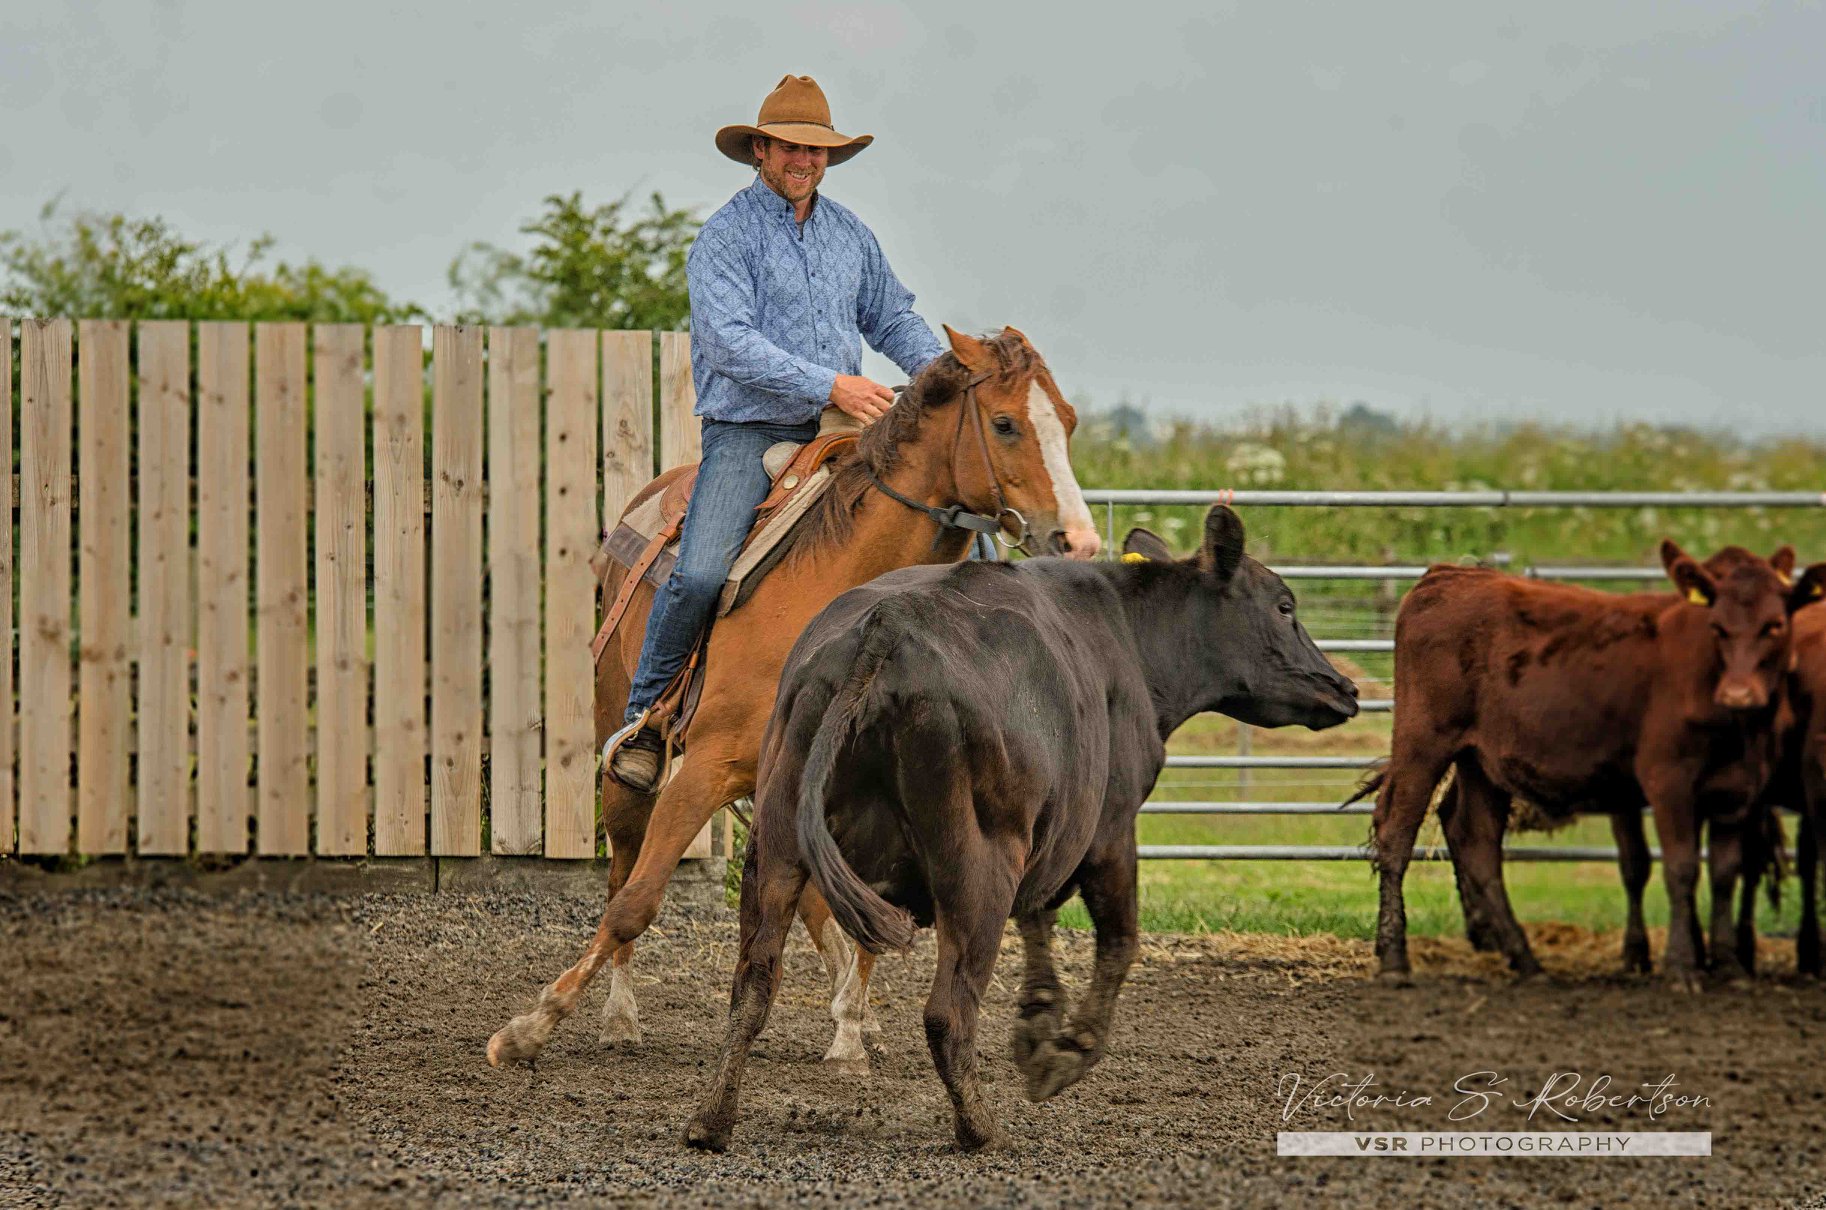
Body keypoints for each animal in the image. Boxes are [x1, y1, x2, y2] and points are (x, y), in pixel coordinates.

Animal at [486, 325, 1100, 1071]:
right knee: (624, 871)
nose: (1078, 540)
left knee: (812, 900)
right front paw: (531, 1025)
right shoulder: (705, 770)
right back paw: (621, 1015)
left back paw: (849, 1016)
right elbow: (636, 901)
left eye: (1068, 421)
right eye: (1007, 423)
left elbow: (859, 912)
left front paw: (851, 1030)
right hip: (628, 755)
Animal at [680, 506, 1359, 1153]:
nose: (1345, 687)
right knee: (947, 1012)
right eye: (1285, 606)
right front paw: (1067, 1051)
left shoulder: (1051, 841)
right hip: (978, 866)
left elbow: (1040, 924)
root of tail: (886, 627)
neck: (1131, 640)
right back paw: (980, 1129)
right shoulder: (1110, 832)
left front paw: (1038, 1024)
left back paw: (711, 1122)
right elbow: (1118, 941)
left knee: (753, 985)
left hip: (775, 843)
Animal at [1362, 542, 1826, 991]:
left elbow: (1726, 873)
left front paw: (1730, 966)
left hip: (1480, 762)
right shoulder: (1668, 782)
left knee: (1477, 844)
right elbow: (1681, 869)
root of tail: (1450, 574)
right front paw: (1681, 967)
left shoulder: (1737, 793)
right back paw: (1395, 958)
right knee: (1396, 830)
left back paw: (1525, 960)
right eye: (1717, 626)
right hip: (1424, 742)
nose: (1739, 694)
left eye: (1775, 625)